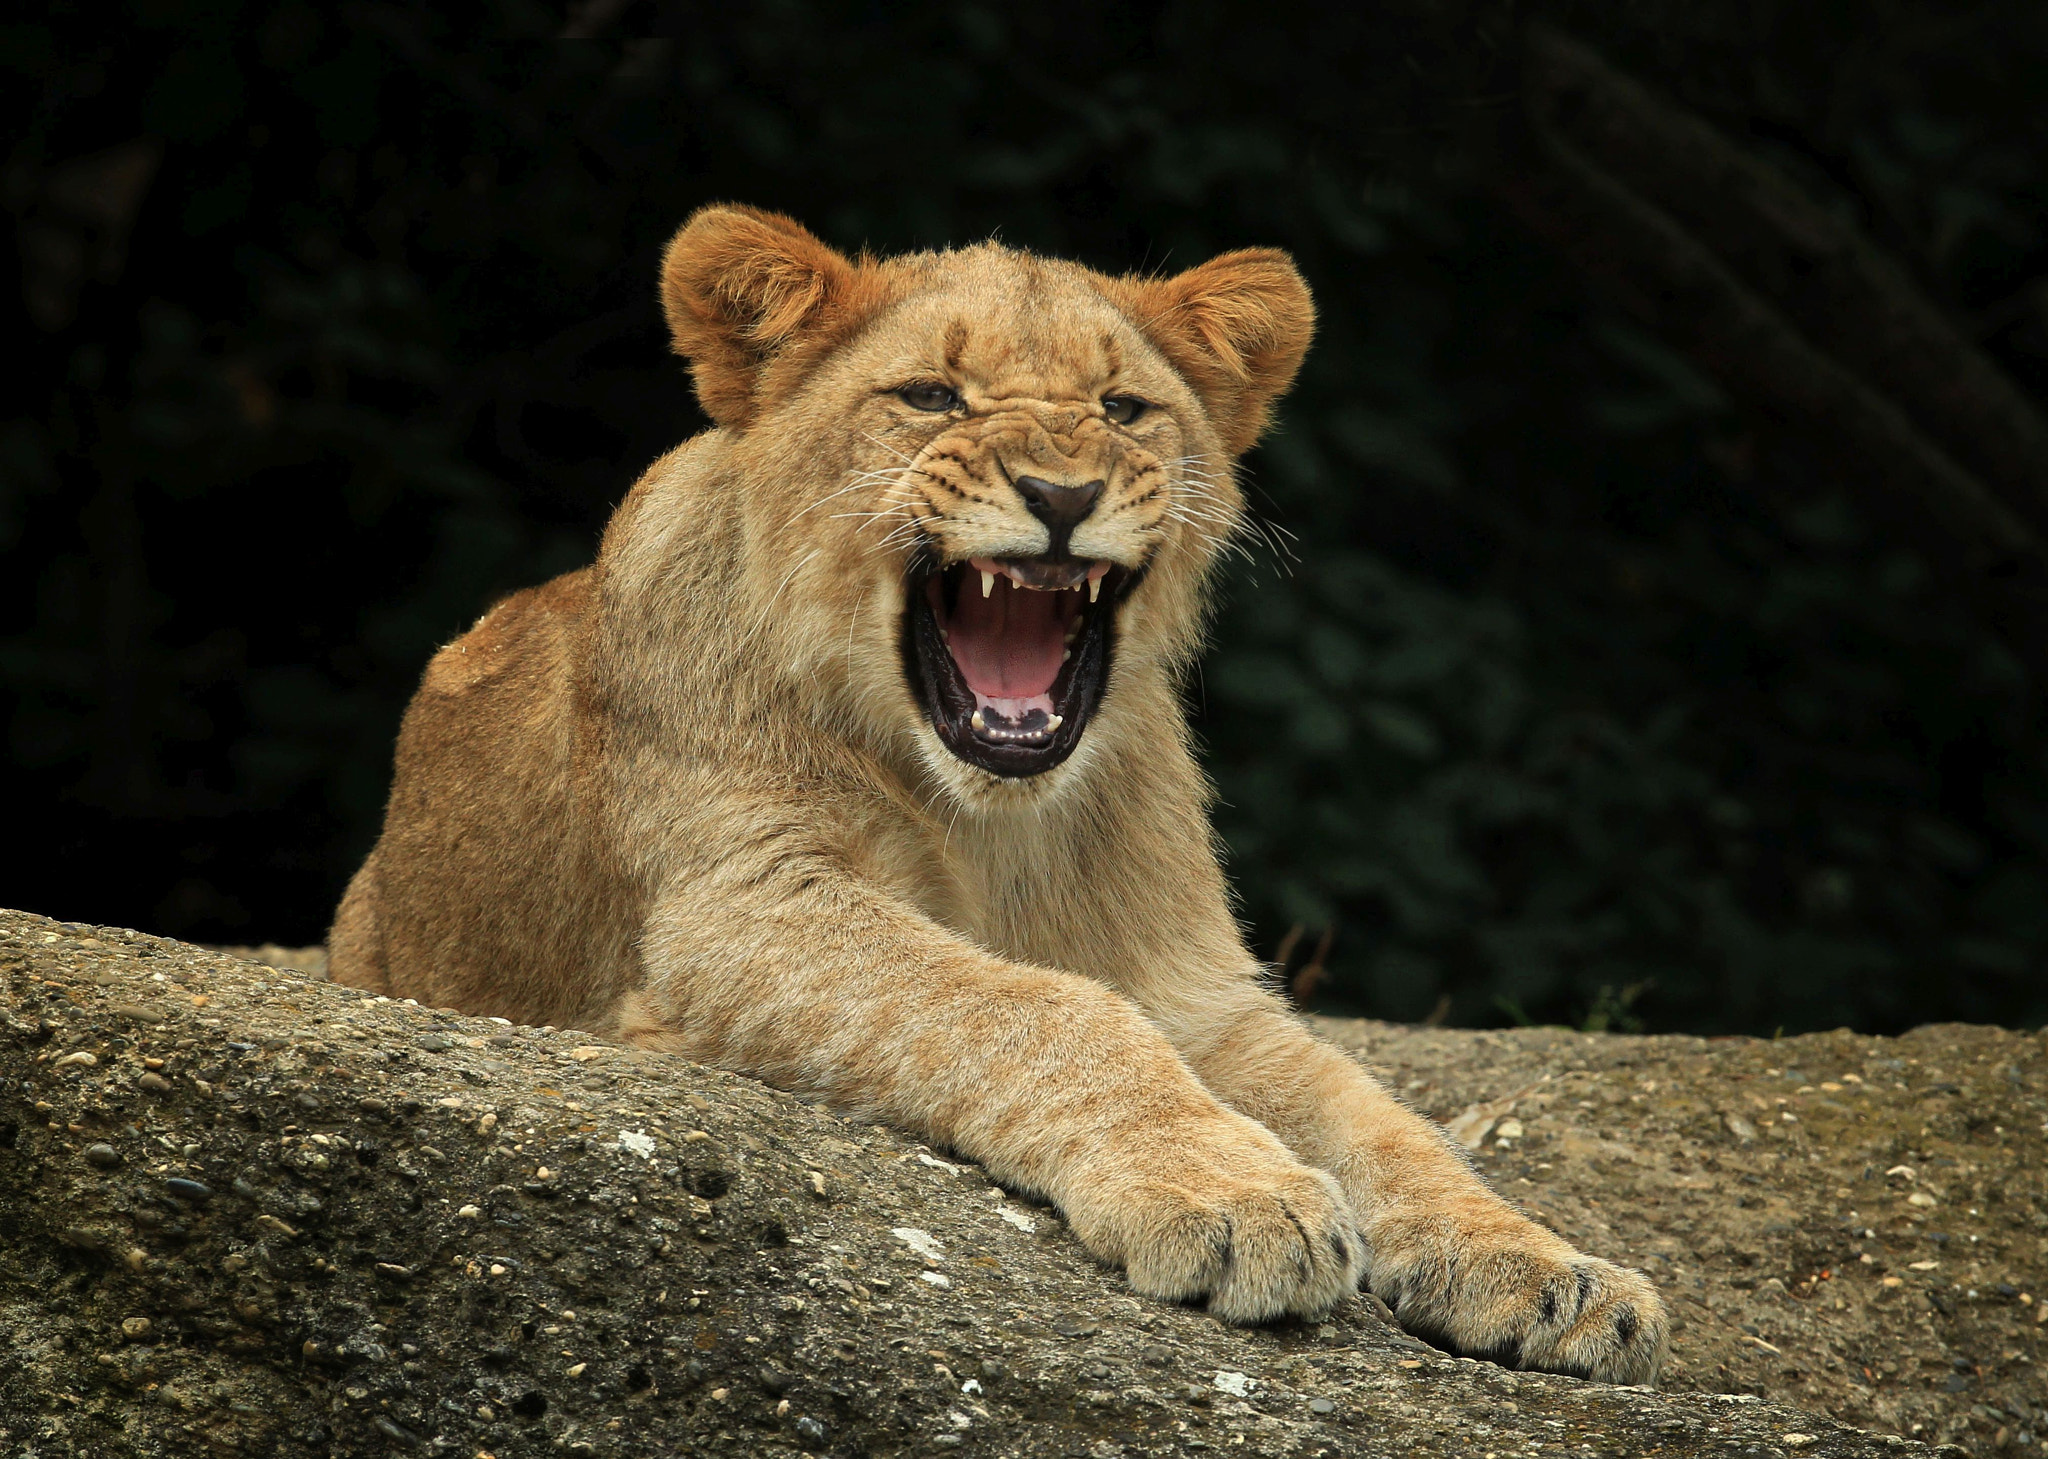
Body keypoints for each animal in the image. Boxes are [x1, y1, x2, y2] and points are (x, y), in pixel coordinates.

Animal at [330, 204, 1668, 1383]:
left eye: (1122, 410)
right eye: (931, 397)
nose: (1064, 495)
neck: (991, 824)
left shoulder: (1196, 986)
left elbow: (1374, 1114)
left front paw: (1548, 1267)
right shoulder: (737, 908)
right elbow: (1042, 1009)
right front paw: (1236, 1193)